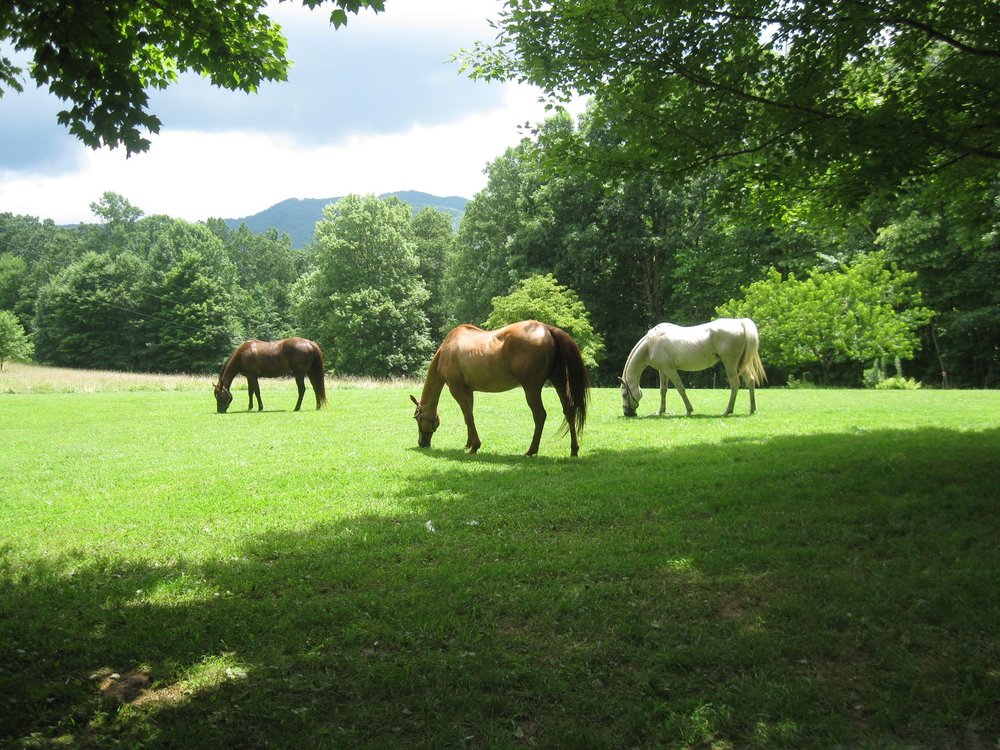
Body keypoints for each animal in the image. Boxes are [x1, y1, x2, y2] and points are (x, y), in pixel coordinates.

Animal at [410, 320, 591, 456]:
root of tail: (547, 329)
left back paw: (531, 450)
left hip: (531, 387)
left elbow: (468, 416)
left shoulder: (457, 389)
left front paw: (475, 446)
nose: (422, 443)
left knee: (540, 415)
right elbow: (468, 416)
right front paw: (469, 443)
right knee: (569, 410)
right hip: (558, 380)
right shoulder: (468, 390)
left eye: (418, 418)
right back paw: (574, 450)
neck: (446, 351)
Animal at [618, 318, 765, 418]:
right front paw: (660, 411)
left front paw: (689, 410)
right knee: (750, 381)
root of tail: (740, 322)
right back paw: (752, 409)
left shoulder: (670, 370)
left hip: (730, 364)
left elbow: (680, 389)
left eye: (624, 394)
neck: (650, 344)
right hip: (741, 364)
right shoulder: (662, 370)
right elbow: (663, 390)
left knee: (735, 384)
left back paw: (727, 411)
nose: (627, 413)